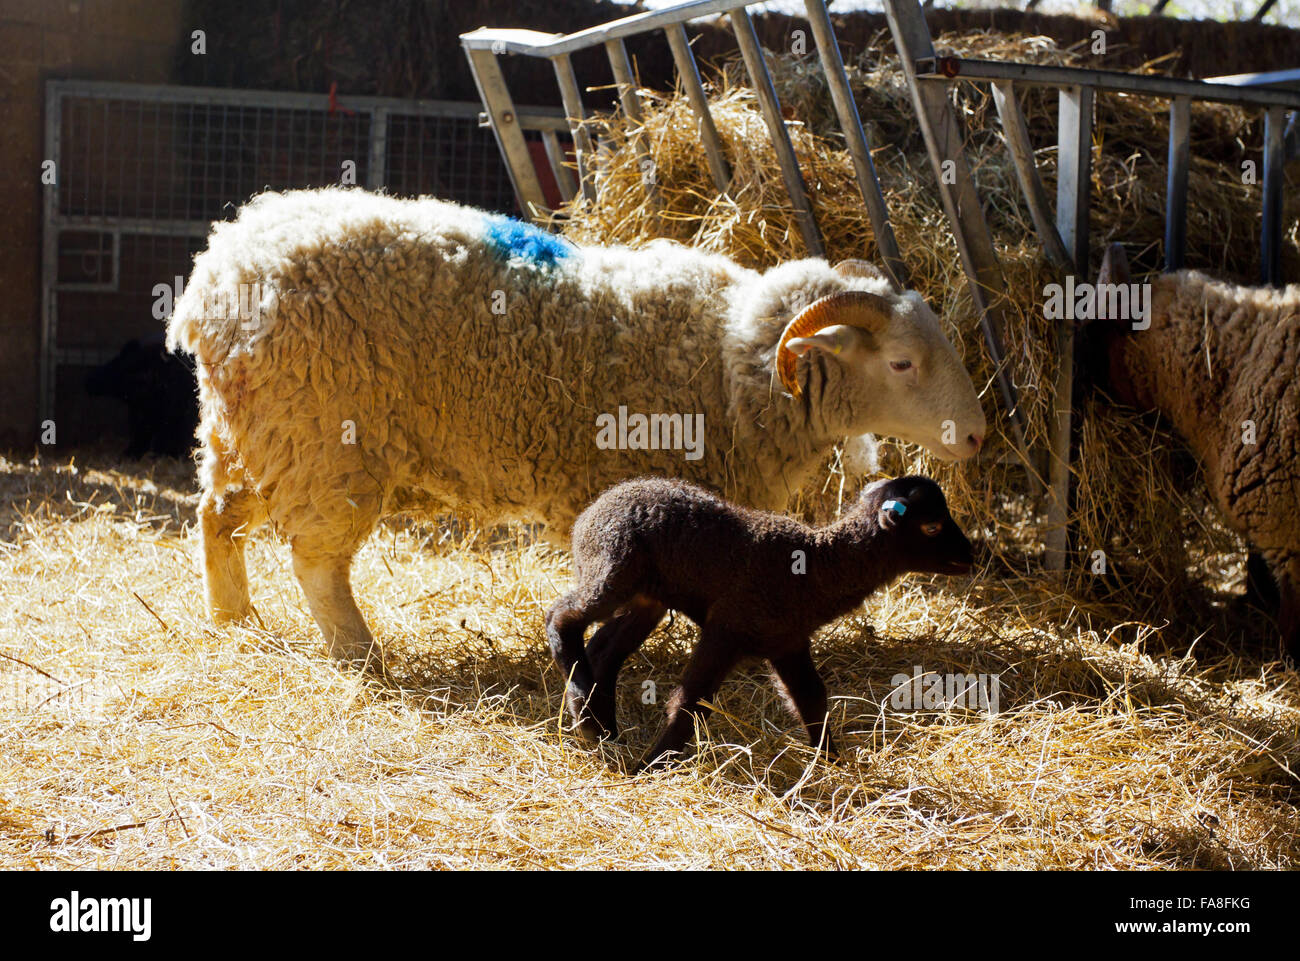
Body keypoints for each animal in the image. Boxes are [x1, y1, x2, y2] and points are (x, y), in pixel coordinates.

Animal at [166, 187, 986, 662]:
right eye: (903, 364)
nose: (976, 435)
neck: (732, 363)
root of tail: (218, 267)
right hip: (324, 436)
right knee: (317, 560)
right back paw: (360, 652)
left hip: (249, 430)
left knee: (216, 516)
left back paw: (233, 619)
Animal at [544, 474, 974, 769]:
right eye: (932, 526)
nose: (970, 555)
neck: (817, 567)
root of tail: (593, 509)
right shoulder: (726, 629)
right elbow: (691, 700)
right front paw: (651, 767)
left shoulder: (788, 642)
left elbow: (812, 698)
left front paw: (832, 761)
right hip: (611, 570)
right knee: (561, 617)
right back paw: (589, 717)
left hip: (646, 599)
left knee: (603, 649)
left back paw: (600, 727)